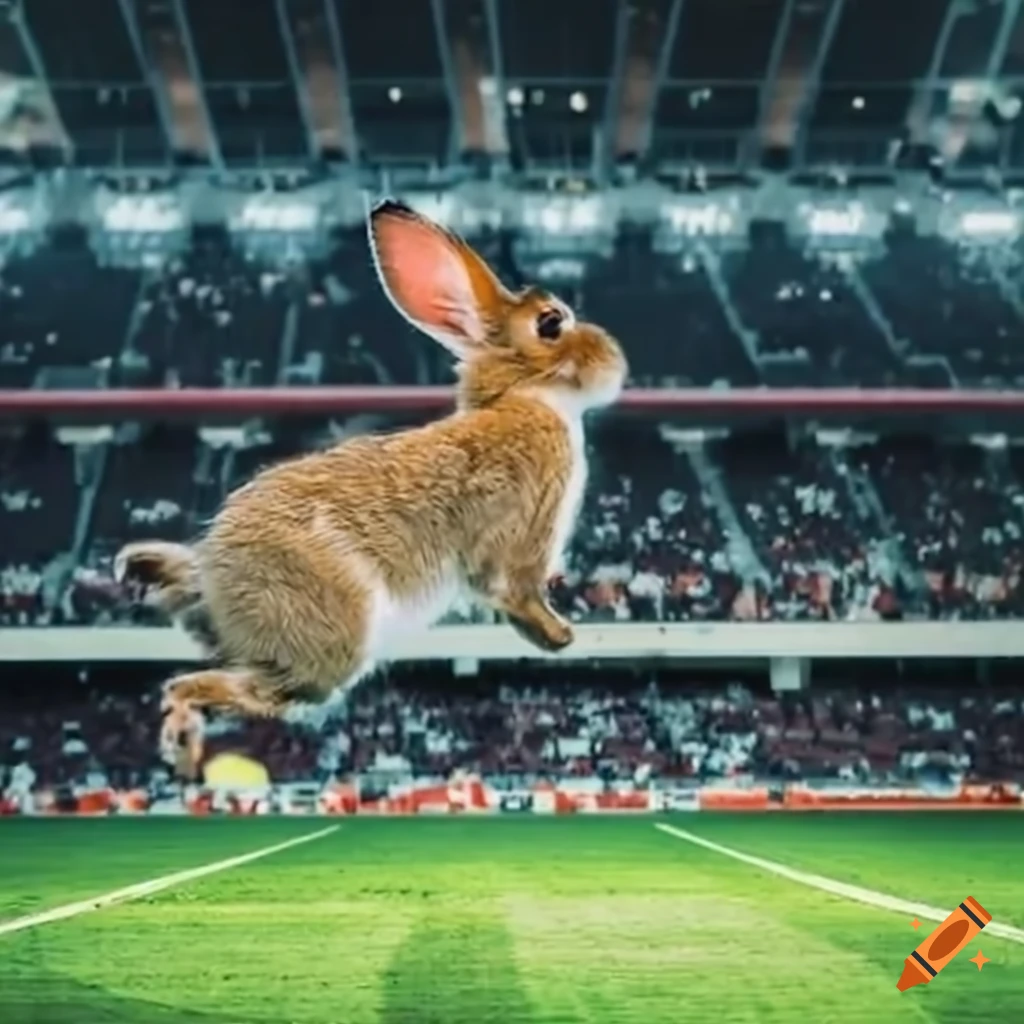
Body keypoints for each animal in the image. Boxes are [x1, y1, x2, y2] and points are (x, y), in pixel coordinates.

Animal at [114, 199, 628, 773]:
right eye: (550, 322)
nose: (613, 359)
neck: (525, 397)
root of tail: (209, 578)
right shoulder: (526, 531)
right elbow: (515, 590)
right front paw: (559, 635)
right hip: (333, 634)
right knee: (251, 690)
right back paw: (183, 733)